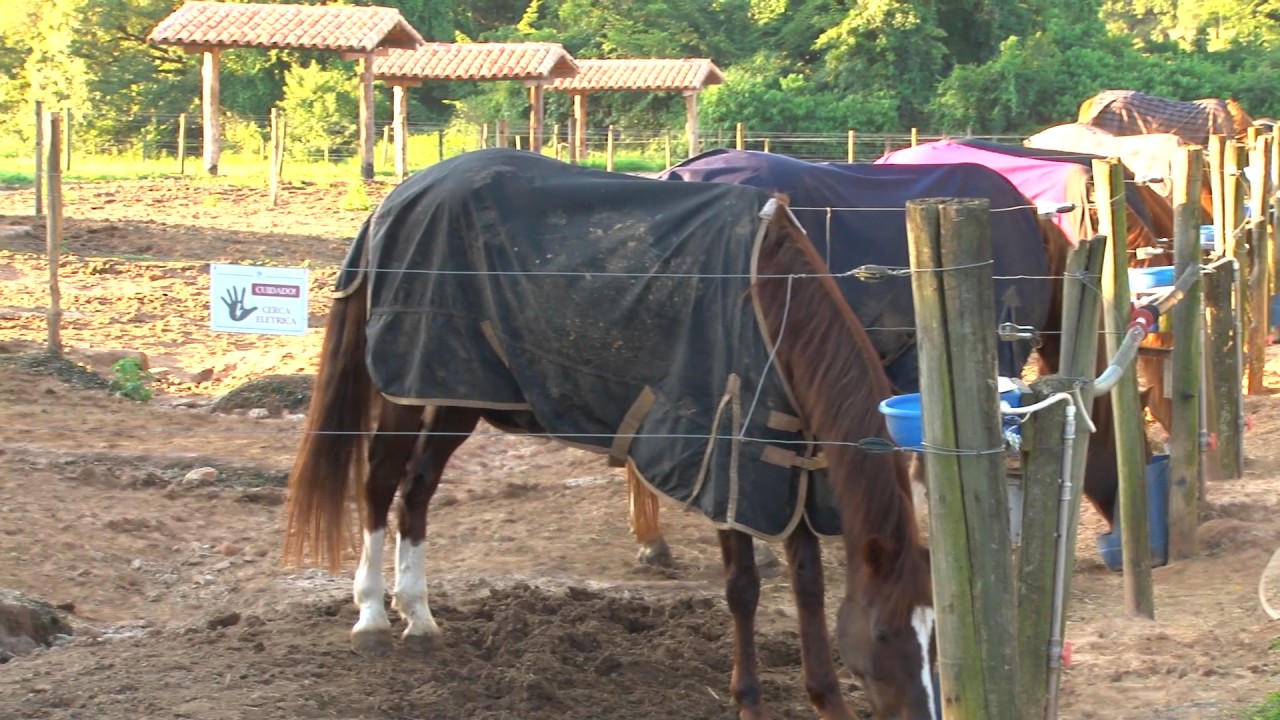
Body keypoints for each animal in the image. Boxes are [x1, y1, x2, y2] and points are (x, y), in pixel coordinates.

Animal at [282, 148, 939, 720]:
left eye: (937, 639)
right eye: (886, 634)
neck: (772, 302)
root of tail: (397, 198)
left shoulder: (786, 466)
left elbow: (809, 584)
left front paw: (826, 702)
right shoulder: (726, 464)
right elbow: (744, 588)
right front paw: (749, 701)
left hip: (454, 393)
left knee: (416, 490)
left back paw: (418, 617)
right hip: (410, 385)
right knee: (379, 483)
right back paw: (372, 616)